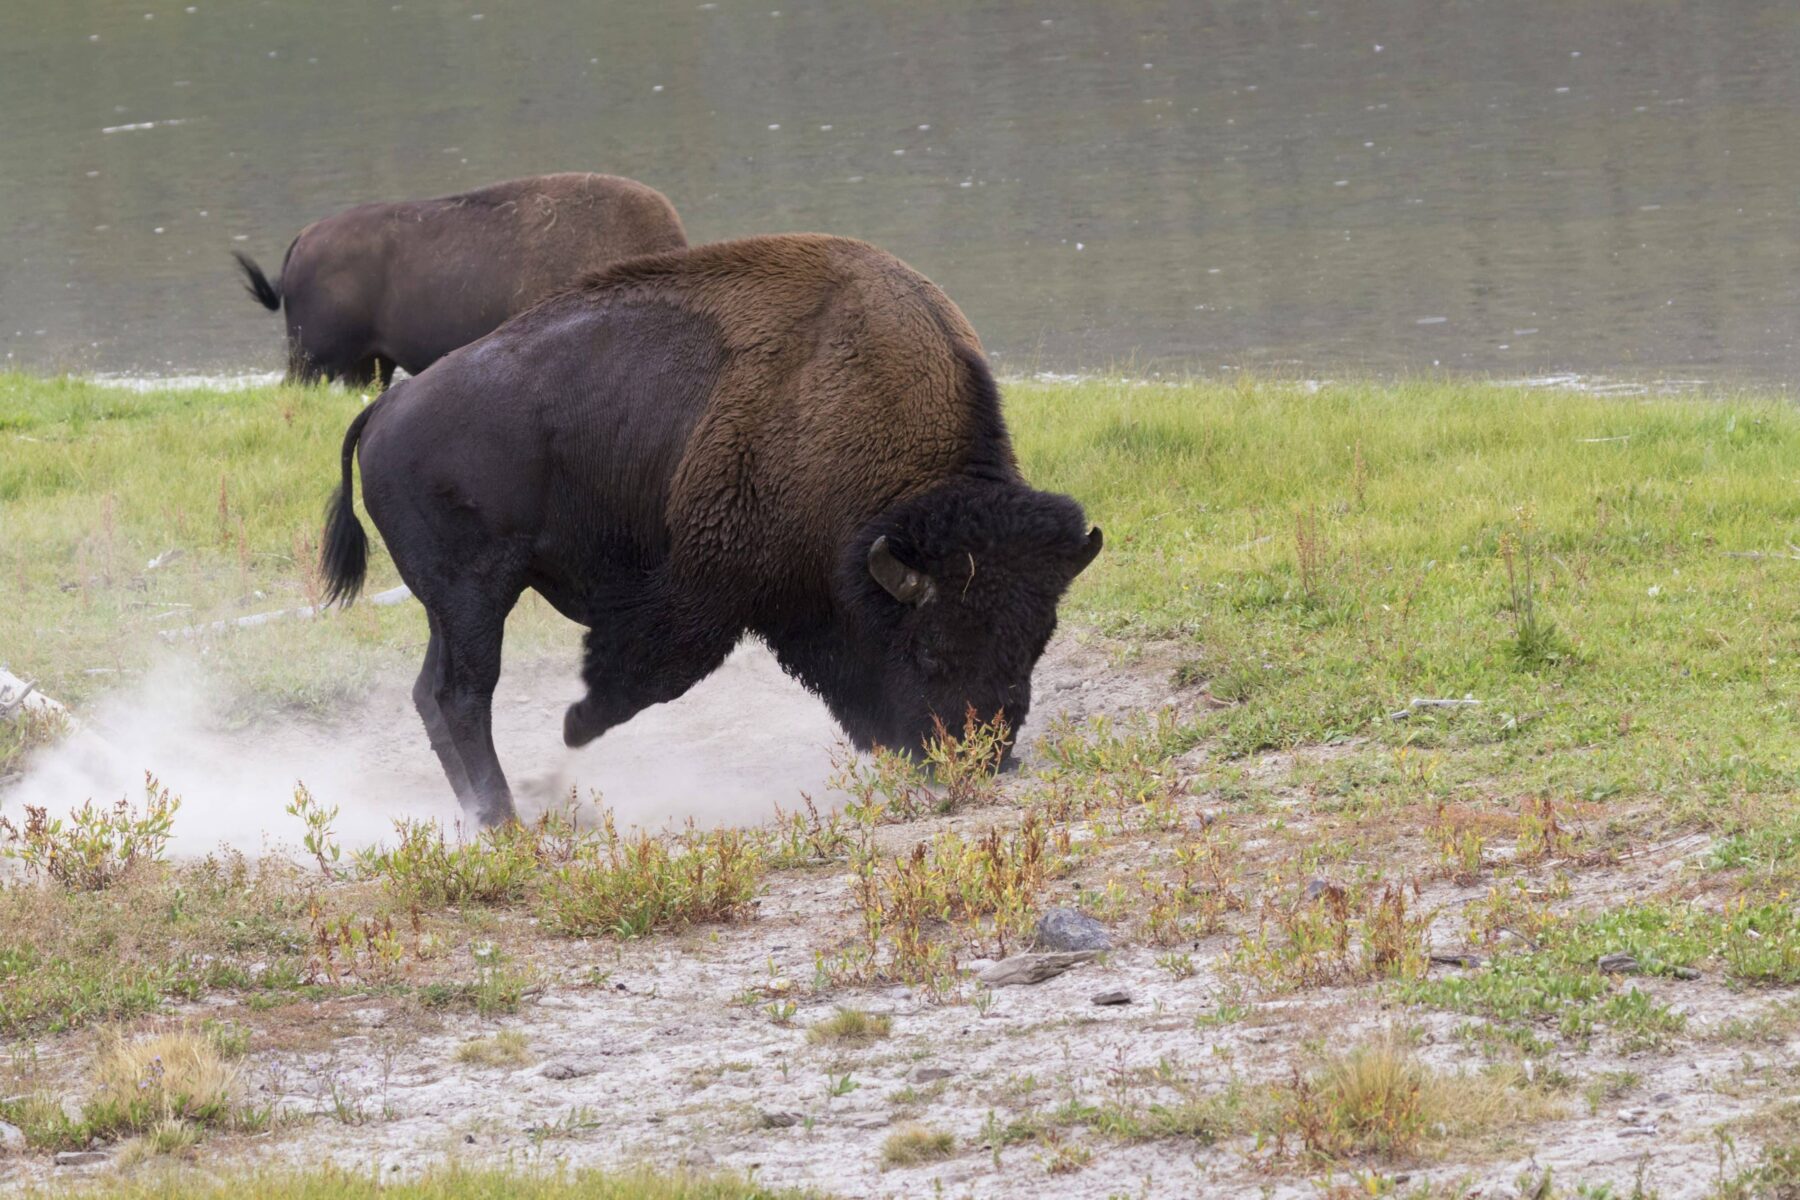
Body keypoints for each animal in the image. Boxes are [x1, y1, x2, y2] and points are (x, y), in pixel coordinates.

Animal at [319, 234, 1102, 827]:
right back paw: (506, 818)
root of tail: (386, 410)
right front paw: (573, 727)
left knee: (432, 693)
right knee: (464, 695)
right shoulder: (704, 587)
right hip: (476, 593)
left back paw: (487, 817)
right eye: (934, 650)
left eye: (1037, 643)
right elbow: (645, 678)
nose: (982, 757)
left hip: (453, 606)